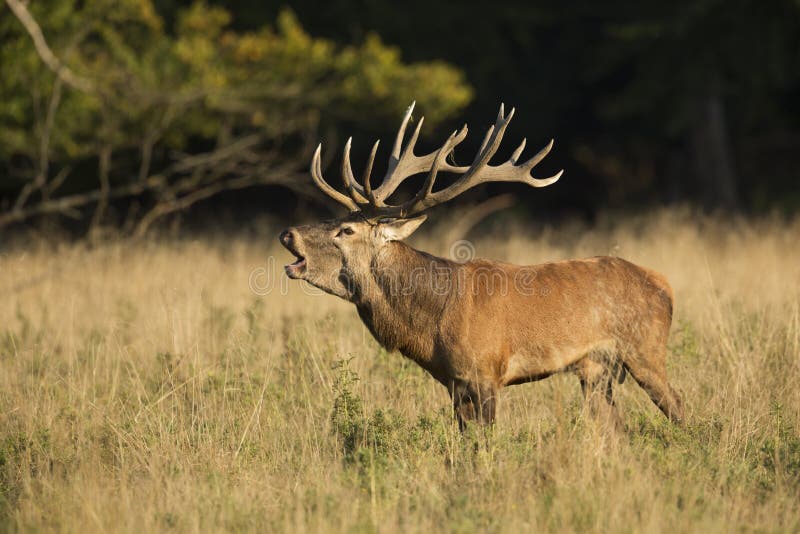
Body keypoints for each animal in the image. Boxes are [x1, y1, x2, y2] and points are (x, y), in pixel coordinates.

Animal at [279, 103, 684, 431]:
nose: (288, 233)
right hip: (597, 368)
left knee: (676, 403)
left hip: (645, 348)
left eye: (346, 230)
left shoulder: (486, 371)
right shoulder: (454, 383)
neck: (432, 323)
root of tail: (664, 283)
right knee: (615, 426)